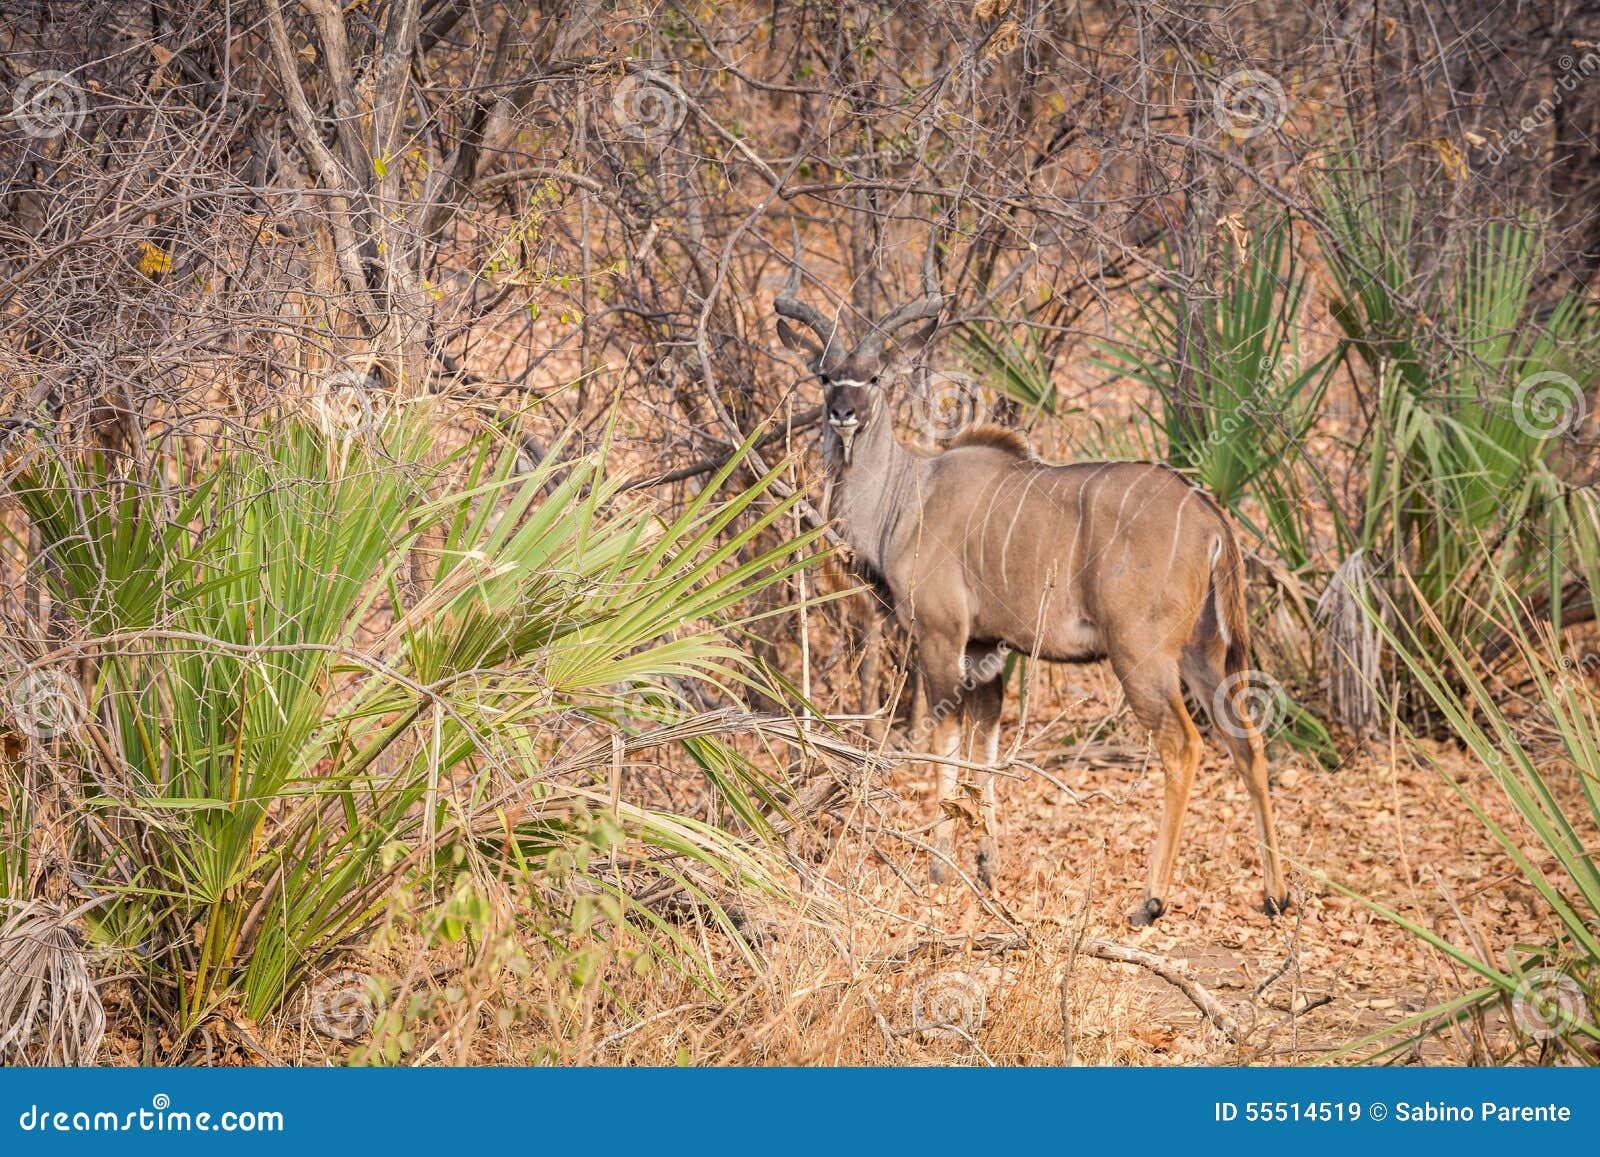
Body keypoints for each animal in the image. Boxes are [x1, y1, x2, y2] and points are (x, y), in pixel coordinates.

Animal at [776, 282, 1289, 926]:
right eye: (825, 376)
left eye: (873, 377)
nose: (842, 412)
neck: (907, 498)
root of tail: (1209, 515)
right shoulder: (986, 648)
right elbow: (987, 744)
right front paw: (987, 865)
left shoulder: (942, 637)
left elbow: (946, 743)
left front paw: (939, 867)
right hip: (1202, 653)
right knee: (1247, 741)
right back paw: (1276, 895)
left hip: (1141, 656)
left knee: (1184, 745)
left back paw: (1151, 900)